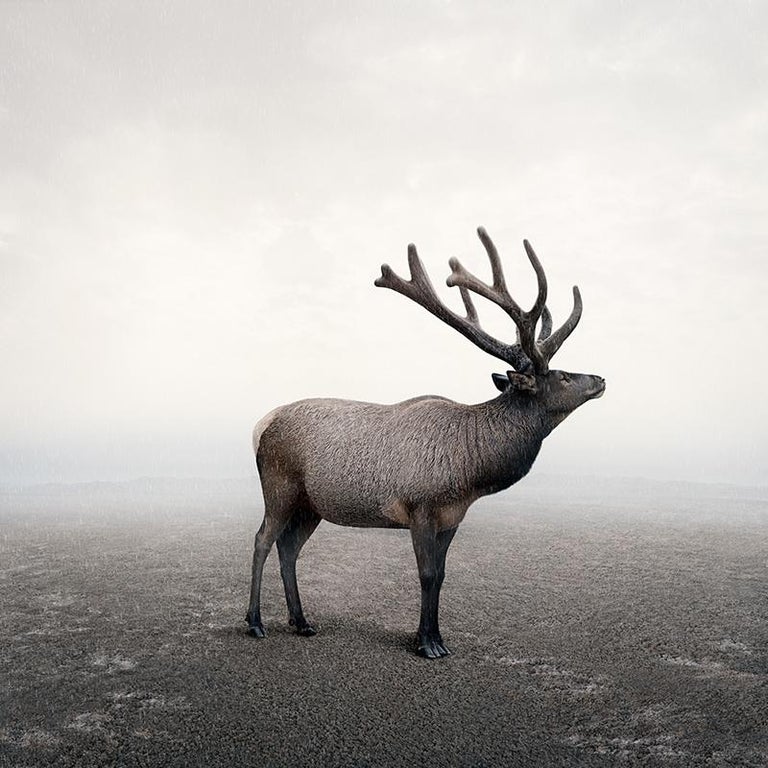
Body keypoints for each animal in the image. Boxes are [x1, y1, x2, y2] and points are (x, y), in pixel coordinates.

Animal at [246, 227, 605, 658]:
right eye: (563, 376)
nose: (600, 379)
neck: (472, 471)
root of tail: (260, 425)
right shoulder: (420, 506)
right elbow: (427, 573)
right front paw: (427, 643)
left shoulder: (452, 516)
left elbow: (443, 574)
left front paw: (435, 638)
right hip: (279, 486)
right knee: (262, 539)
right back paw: (254, 623)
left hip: (310, 504)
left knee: (289, 547)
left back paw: (301, 622)